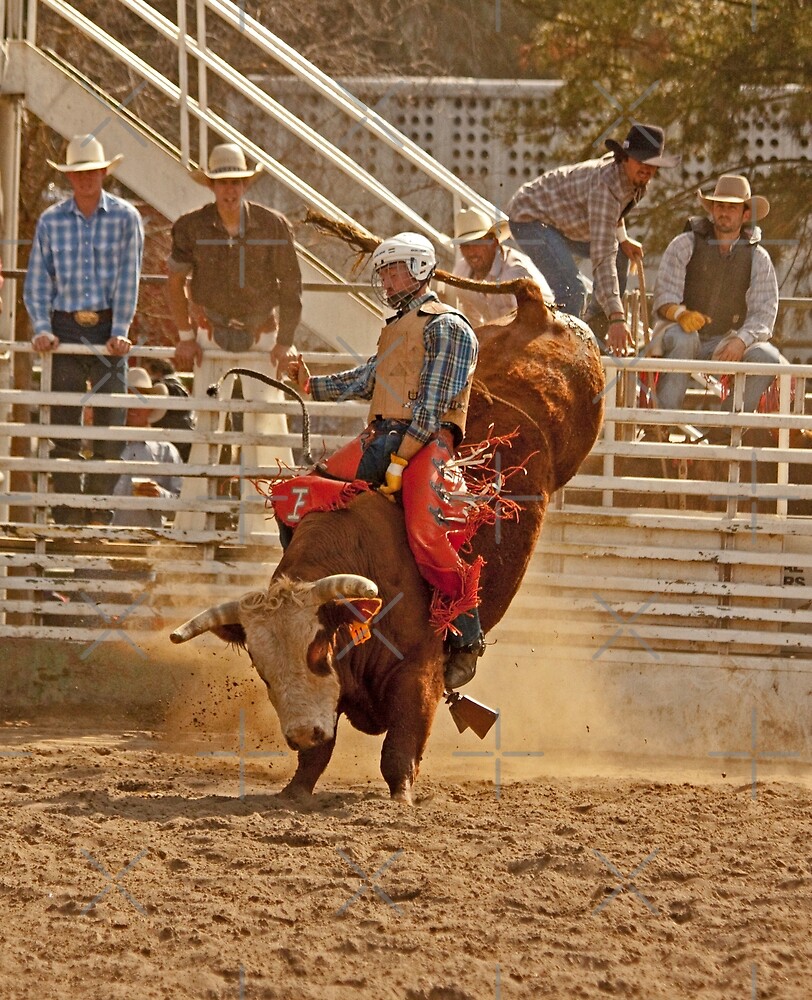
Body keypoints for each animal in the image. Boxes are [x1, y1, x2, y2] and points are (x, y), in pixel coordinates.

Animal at [170, 283, 605, 804]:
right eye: (260, 667)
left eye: (318, 649)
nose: (300, 733)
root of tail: (535, 308)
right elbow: (322, 752)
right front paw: (295, 789)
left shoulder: (418, 672)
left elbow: (400, 745)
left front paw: (401, 798)